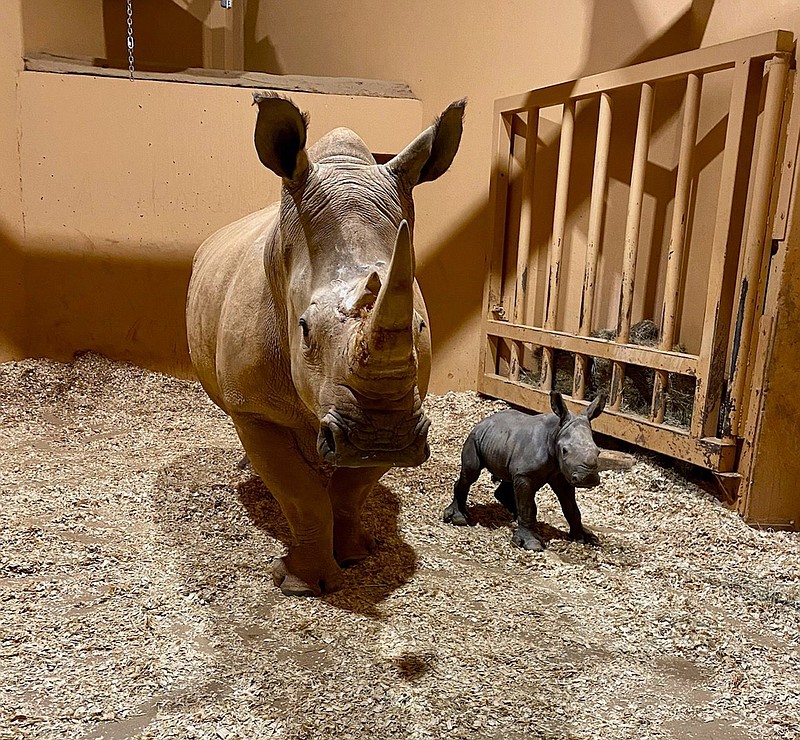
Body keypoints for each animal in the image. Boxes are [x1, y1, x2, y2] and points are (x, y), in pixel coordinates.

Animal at [186, 94, 465, 596]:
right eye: (303, 328)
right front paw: (303, 584)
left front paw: (355, 555)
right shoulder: (254, 408)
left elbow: (351, 490)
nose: (384, 438)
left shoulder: (393, 407)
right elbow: (301, 494)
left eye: (419, 327)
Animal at [443, 392, 608, 551]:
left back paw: (515, 519)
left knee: (508, 481)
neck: (556, 432)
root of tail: (483, 421)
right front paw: (531, 543)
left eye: (598, 452)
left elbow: (571, 507)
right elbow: (527, 507)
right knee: (471, 473)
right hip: (474, 438)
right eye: (564, 450)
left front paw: (585, 538)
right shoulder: (525, 475)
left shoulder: (561, 474)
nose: (588, 478)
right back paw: (459, 519)